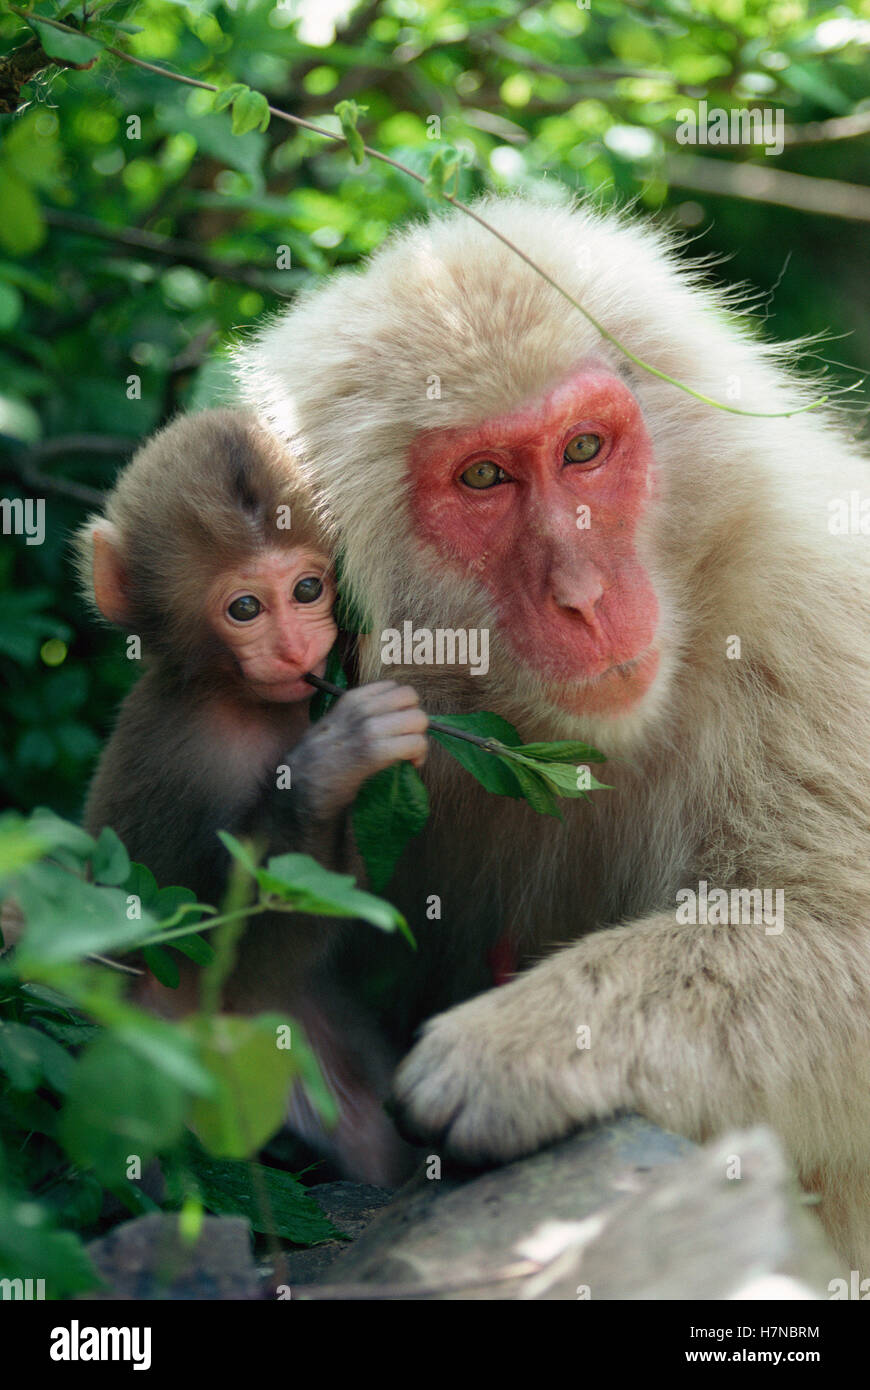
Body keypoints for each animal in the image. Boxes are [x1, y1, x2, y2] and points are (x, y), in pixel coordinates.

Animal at [75, 408, 428, 1182]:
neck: (235, 699)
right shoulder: (192, 758)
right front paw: (338, 761)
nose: (296, 650)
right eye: (244, 608)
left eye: (307, 591)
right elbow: (224, 959)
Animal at [236, 195, 870, 1265]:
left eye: (583, 450)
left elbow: (844, 930)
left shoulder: (817, 621)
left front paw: (517, 1048)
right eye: (485, 477)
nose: (583, 596)